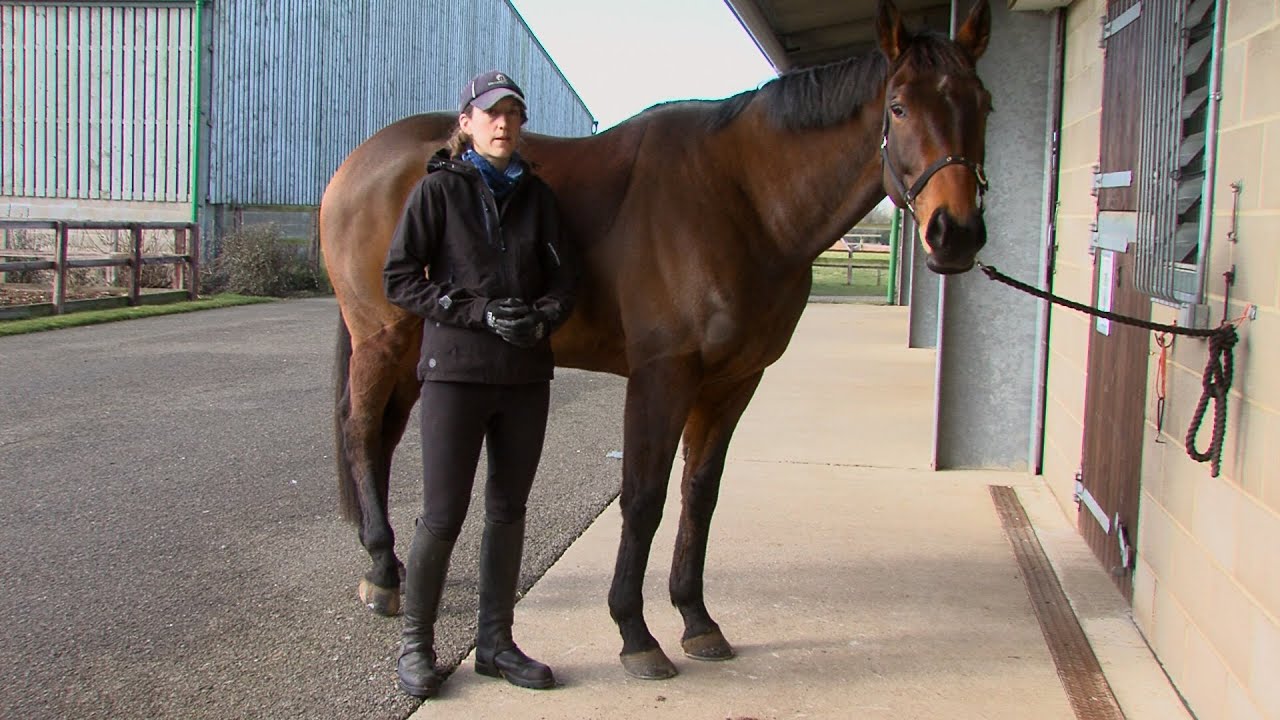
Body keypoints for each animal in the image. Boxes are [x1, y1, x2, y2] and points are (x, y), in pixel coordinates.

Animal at [319, 0, 992, 680]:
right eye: (899, 107)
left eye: (984, 103)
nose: (955, 233)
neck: (742, 201)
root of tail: (361, 161)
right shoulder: (662, 375)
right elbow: (643, 498)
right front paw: (635, 634)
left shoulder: (733, 381)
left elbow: (700, 495)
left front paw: (697, 619)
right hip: (381, 337)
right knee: (360, 429)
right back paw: (383, 572)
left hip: (412, 346)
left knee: (383, 436)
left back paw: (393, 567)